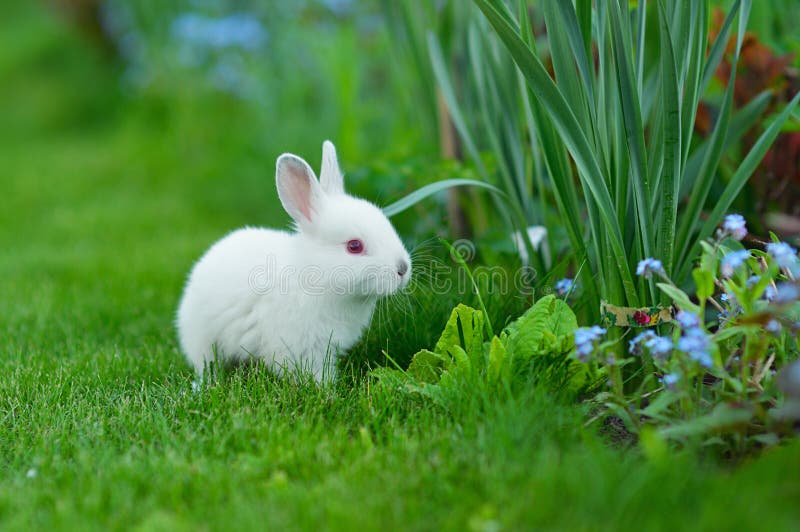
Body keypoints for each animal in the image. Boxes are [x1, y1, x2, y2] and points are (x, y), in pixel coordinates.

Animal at [176, 140, 412, 383]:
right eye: (354, 246)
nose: (403, 269)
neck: (314, 278)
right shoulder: (302, 348)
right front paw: (325, 388)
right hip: (202, 339)